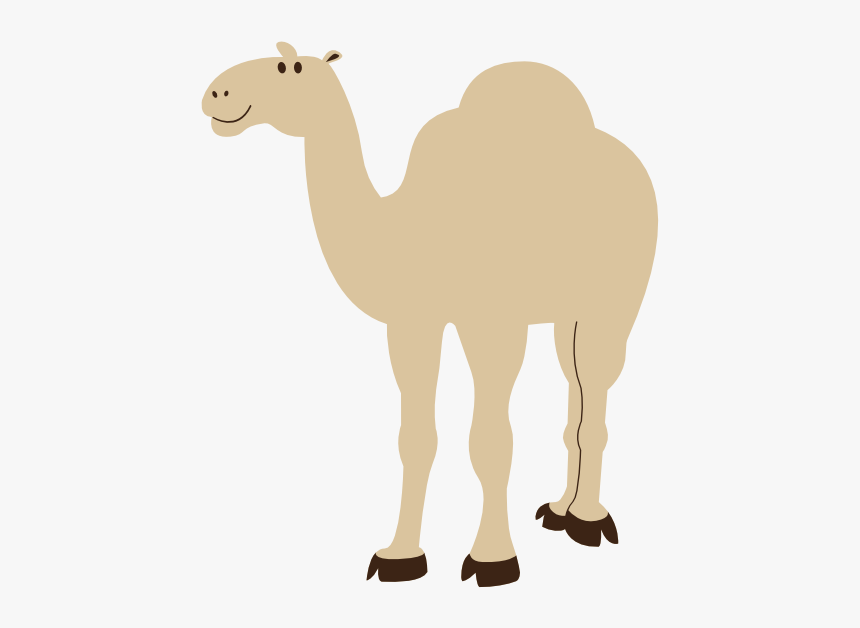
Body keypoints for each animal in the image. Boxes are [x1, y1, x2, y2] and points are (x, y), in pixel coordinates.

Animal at [202, 42, 657, 587]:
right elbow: (415, 439)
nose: (216, 93)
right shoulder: (411, 324)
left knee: (596, 387)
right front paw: (400, 556)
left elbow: (490, 441)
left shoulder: (492, 323)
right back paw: (559, 509)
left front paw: (492, 560)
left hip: (615, 298)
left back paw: (588, 521)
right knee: (576, 389)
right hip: (565, 311)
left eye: (287, 67)